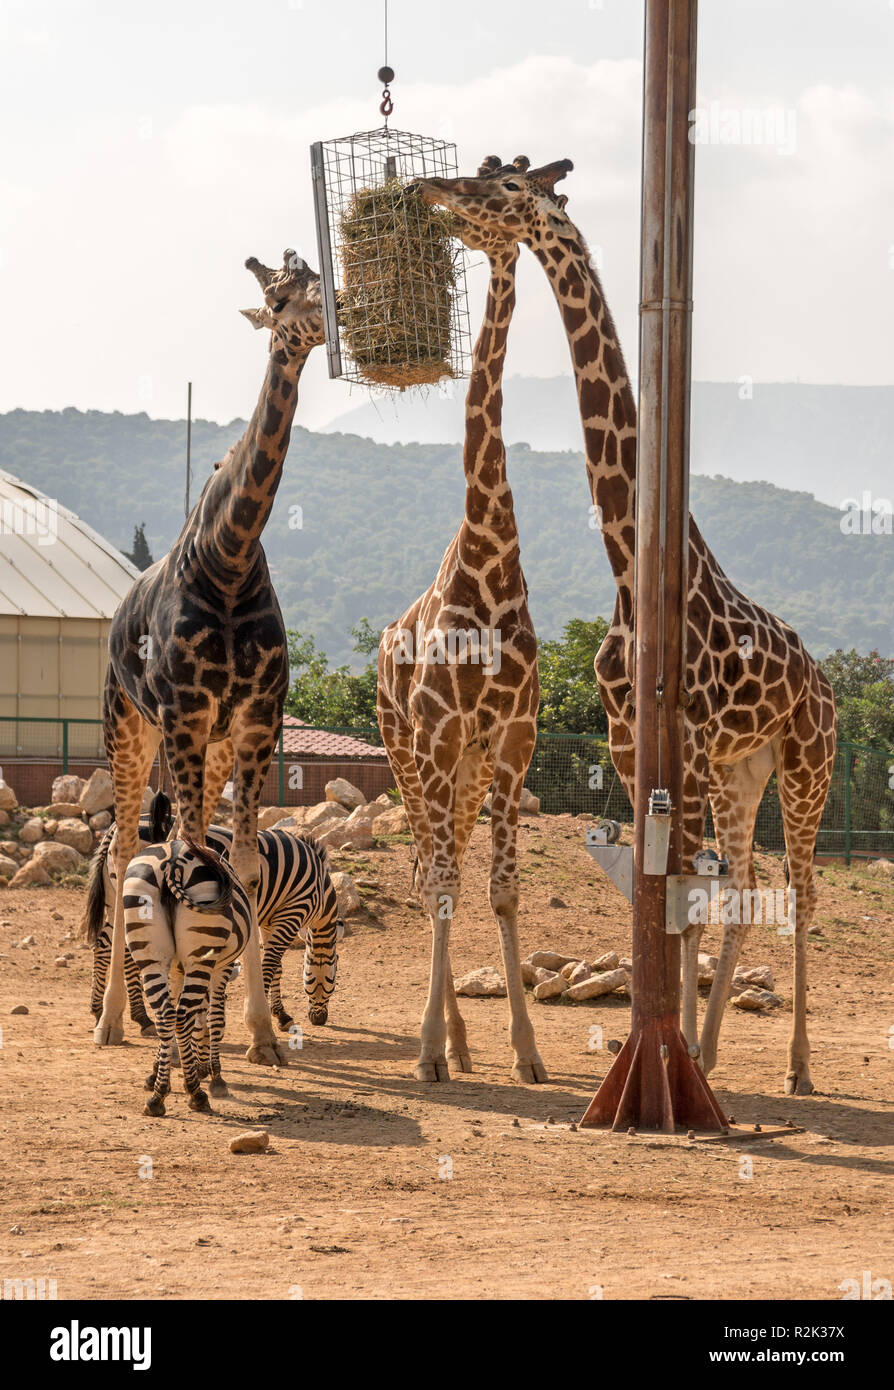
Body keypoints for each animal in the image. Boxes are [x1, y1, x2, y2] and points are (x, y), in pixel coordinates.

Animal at [83, 797, 342, 1037]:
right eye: (333, 978)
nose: (319, 1019)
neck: (320, 887)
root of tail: (114, 828)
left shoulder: (270, 922)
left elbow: (276, 967)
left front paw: (279, 1013)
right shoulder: (292, 913)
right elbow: (271, 964)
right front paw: (275, 1015)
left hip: (118, 898)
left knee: (104, 944)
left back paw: (101, 1010)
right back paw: (139, 1017)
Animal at [94, 249, 325, 1067]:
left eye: (315, 275)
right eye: (279, 296)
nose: (322, 318)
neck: (229, 556)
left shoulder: (255, 718)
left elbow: (244, 865)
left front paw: (257, 1035)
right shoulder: (185, 712)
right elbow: (185, 851)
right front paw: (194, 1038)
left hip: (211, 744)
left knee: (177, 845)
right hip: (132, 726)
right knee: (126, 842)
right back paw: (113, 1019)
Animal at [123, 838, 250, 1114]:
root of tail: (174, 858)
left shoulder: (175, 970)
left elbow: (187, 1019)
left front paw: (158, 1072)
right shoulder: (221, 967)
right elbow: (213, 1019)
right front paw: (215, 1077)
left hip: (150, 951)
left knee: (166, 1016)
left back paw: (158, 1097)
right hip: (200, 954)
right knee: (181, 1018)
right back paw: (196, 1093)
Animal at [414, 159, 837, 1095]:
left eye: (503, 186)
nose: (431, 191)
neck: (630, 568)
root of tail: (824, 680)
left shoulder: (690, 742)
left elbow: (690, 896)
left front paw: (671, 1067)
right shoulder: (629, 744)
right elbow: (666, 895)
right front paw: (667, 1053)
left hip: (805, 763)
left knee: (798, 887)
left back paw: (796, 1066)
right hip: (745, 770)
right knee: (744, 884)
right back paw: (711, 1050)